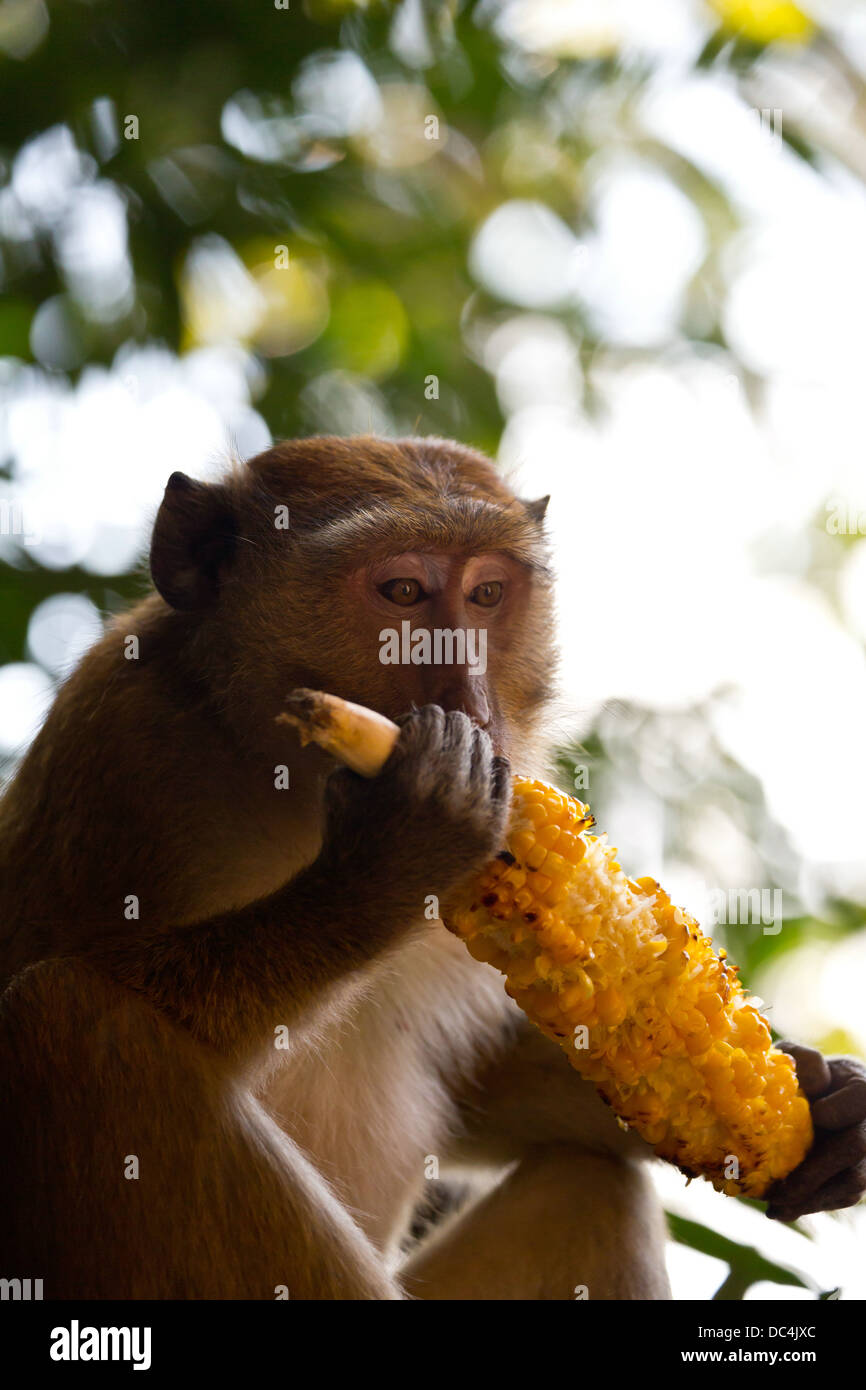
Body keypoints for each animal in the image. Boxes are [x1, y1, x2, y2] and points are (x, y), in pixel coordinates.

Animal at [0, 435, 864, 1300]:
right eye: (404, 592)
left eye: (486, 595)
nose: (473, 706)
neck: (286, 780)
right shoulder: (119, 749)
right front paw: (396, 847)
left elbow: (483, 1083)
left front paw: (821, 1096)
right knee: (68, 1015)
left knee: (596, 1187)